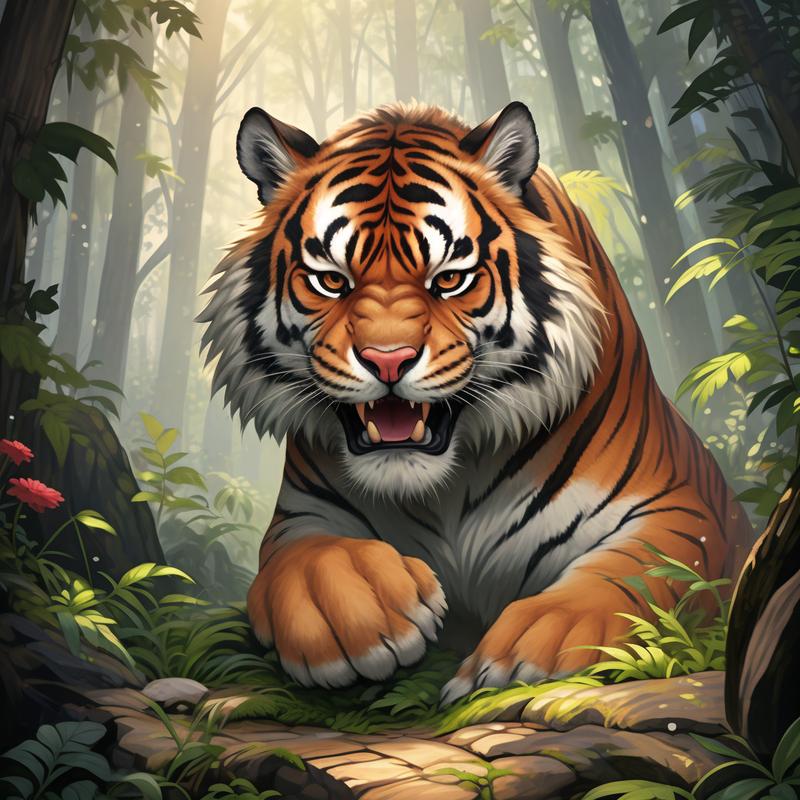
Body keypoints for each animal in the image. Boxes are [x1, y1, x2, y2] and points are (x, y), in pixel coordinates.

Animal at [199, 101, 751, 701]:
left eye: (449, 280)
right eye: (330, 281)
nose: (387, 360)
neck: (445, 489)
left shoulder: (680, 507)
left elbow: (634, 575)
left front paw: (527, 649)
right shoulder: (299, 516)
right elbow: (304, 560)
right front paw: (359, 608)